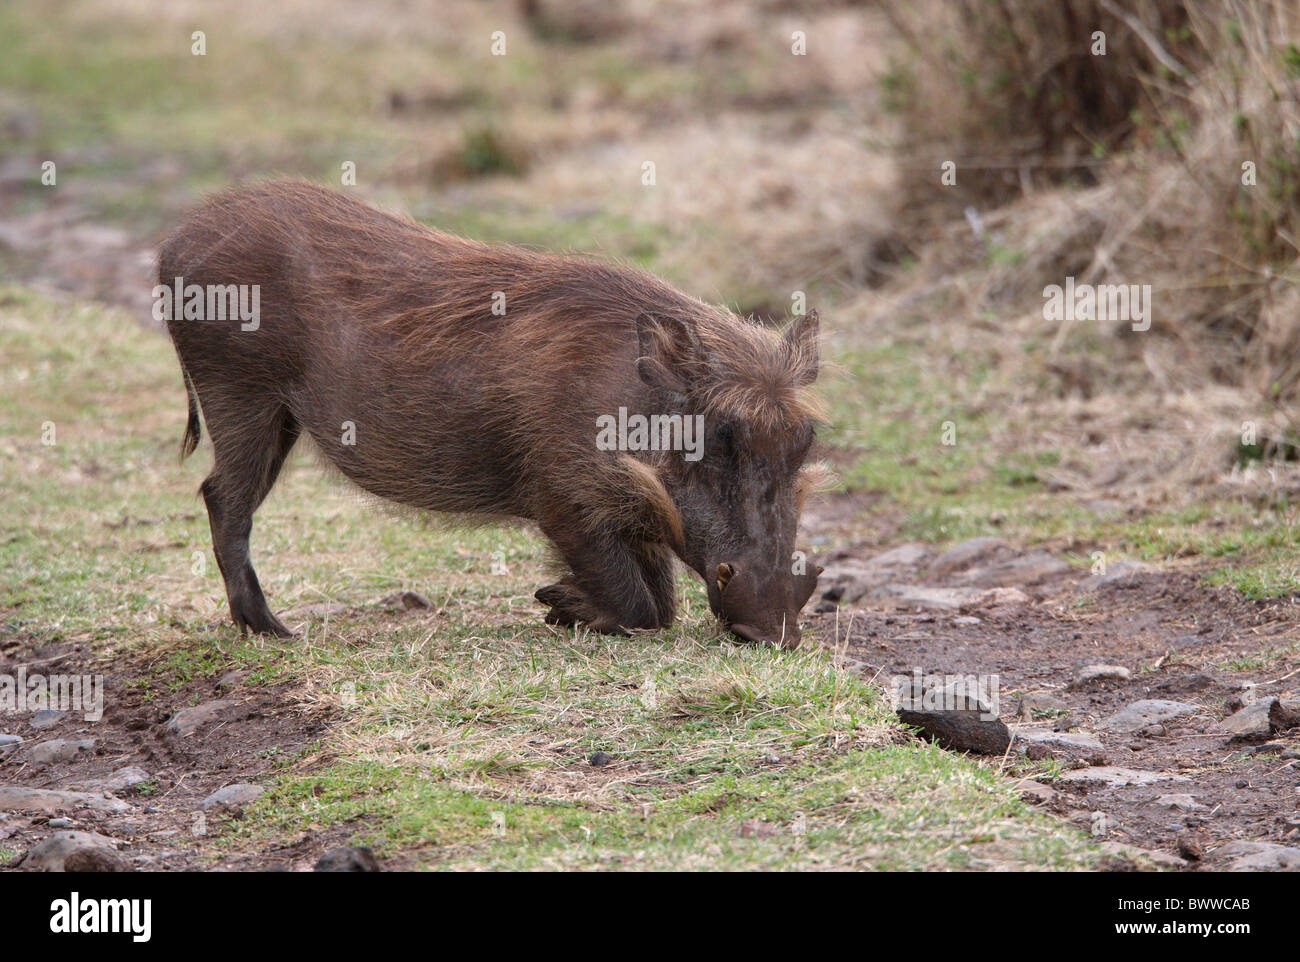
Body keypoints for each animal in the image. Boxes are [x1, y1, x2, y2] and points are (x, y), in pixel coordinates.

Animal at [158, 180, 826, 647]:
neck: (632, 404)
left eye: (805, 442)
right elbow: (639, 606)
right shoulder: (564, 498)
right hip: (239, 395)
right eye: (715, 439)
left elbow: (658, 602)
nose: (773, 634)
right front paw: (558, 604)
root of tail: (177, 238)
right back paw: (270, 629)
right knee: (224, 499)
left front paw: (564, 606)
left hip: (275, 416)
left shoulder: (637, 512)